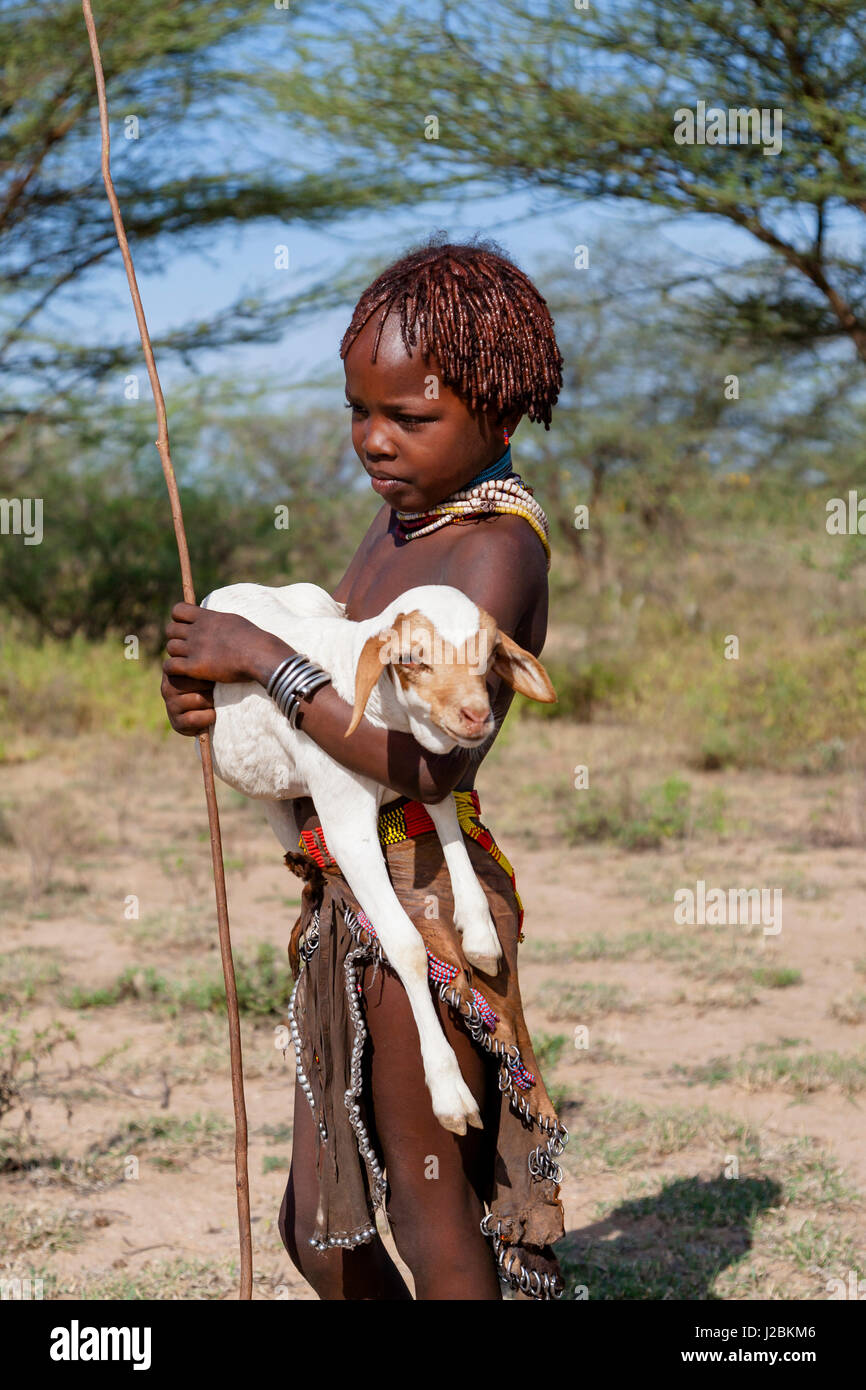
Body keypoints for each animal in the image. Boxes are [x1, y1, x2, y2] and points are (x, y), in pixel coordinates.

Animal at [202, 581, 556, 1134]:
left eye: (489, 655)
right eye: (411, 658)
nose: (476, 716)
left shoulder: (425, 772)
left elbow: (447, 815)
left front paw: (478, 930)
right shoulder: (347, 824)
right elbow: (407, 946)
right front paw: (449, 1092)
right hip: (274, 797)